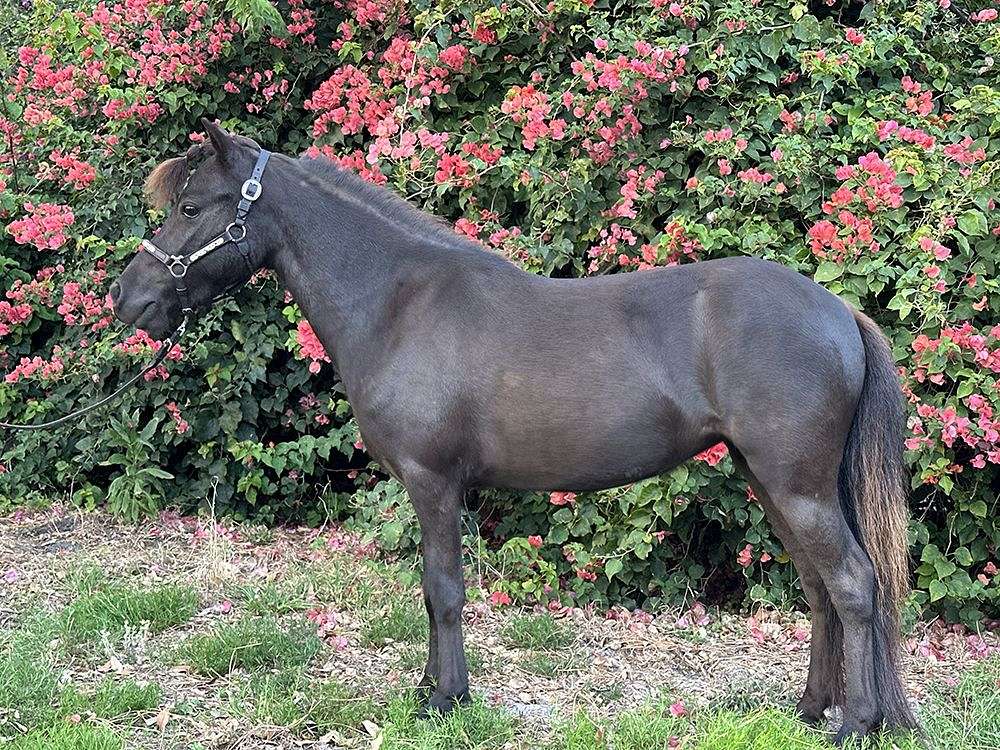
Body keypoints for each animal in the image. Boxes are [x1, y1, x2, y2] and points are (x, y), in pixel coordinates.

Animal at [109, 120, 917, 744]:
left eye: (190, 205)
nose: (128, 299)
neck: (399, 302)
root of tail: (839, 311)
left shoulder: (434, 484)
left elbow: (443, 589)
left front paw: (445, 699)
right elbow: (430, 590)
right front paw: (428, 688)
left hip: (798, 486)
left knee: (853, 584)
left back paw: (856, 723)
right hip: (771, 481)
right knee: (819, 590)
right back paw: (810, 710)